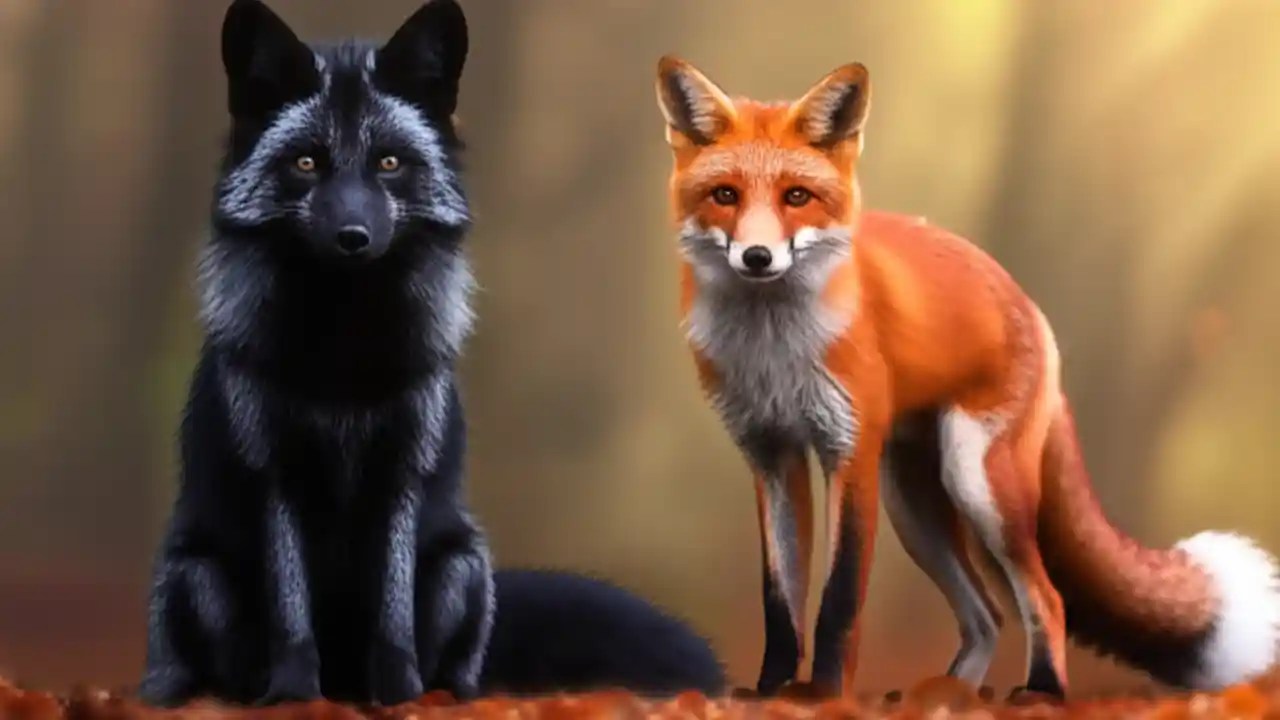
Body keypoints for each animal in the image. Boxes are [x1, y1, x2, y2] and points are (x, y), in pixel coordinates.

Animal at [136, 1, 725, 708]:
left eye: (389, 163)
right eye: (306, 163)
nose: (353, 237)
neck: (342, 359)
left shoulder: (403, 473)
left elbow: (392, 615)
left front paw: (399, 695)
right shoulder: (274, 475)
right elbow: (291, 610)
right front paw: (296, 695)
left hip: (460, 563)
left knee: (459, 664)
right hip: (196, 573)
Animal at [653, 55, 1280, 699]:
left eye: (796, 196)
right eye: (724, 195)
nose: (757, 257)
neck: (774, 347)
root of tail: (1024, 300)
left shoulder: (848, 453)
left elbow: (840, 600)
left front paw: (825, 697)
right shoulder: (771, 456)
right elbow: (780, 603)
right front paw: (772, 690)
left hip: (977, 485)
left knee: (1045, 597)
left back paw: (1042, 693)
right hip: (915, 507)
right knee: (987, 615)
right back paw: (945, 696)